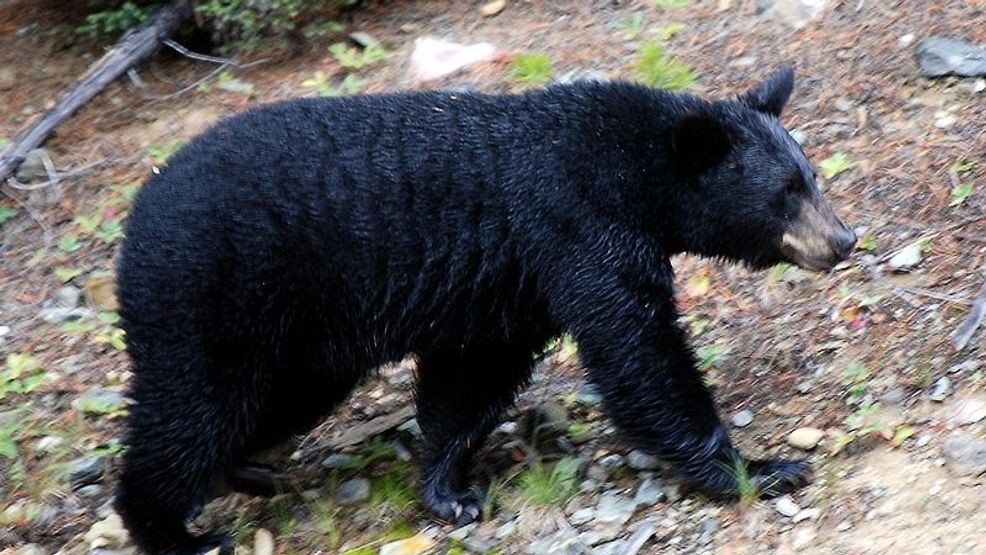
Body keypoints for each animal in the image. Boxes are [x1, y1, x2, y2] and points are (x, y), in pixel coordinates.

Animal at [114, 67, 856, 554]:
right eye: (785, 193)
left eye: (811, 175)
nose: (844, 239)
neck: (636, 171)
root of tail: (136, 217)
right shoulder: (579, 227)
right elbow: (639, 354)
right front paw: (759, 468)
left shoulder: (512, 285)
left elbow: (471, 379)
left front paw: (448, 488)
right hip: (211, 296)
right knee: (192, 410)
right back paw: (175, 531)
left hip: (299, 340)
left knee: (272, 403)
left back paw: (247, 470)